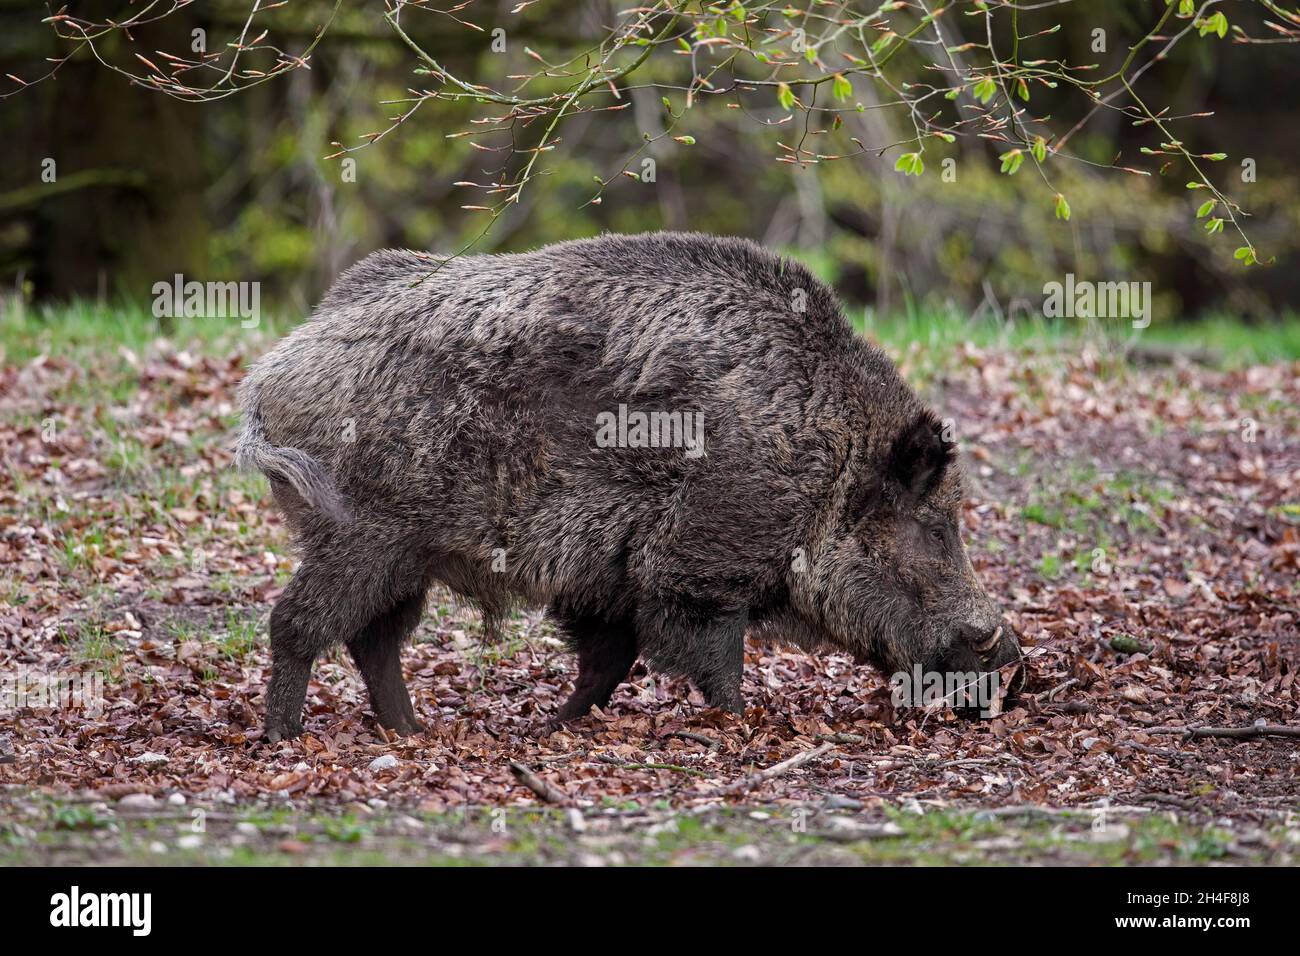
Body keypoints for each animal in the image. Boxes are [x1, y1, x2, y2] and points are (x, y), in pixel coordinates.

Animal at [236, 231, 1023, 742]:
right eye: (935, 526)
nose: (1012, 665)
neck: (826, 456)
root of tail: (274, 368)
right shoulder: (699, 560)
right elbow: (707, 652)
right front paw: (739, 723)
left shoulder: (608, 578)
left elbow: (608, 658)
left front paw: (555, 726)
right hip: (363, 532)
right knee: (298, 624)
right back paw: (283, 737)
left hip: (407, 556)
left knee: (374, 640)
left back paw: (412, 732)